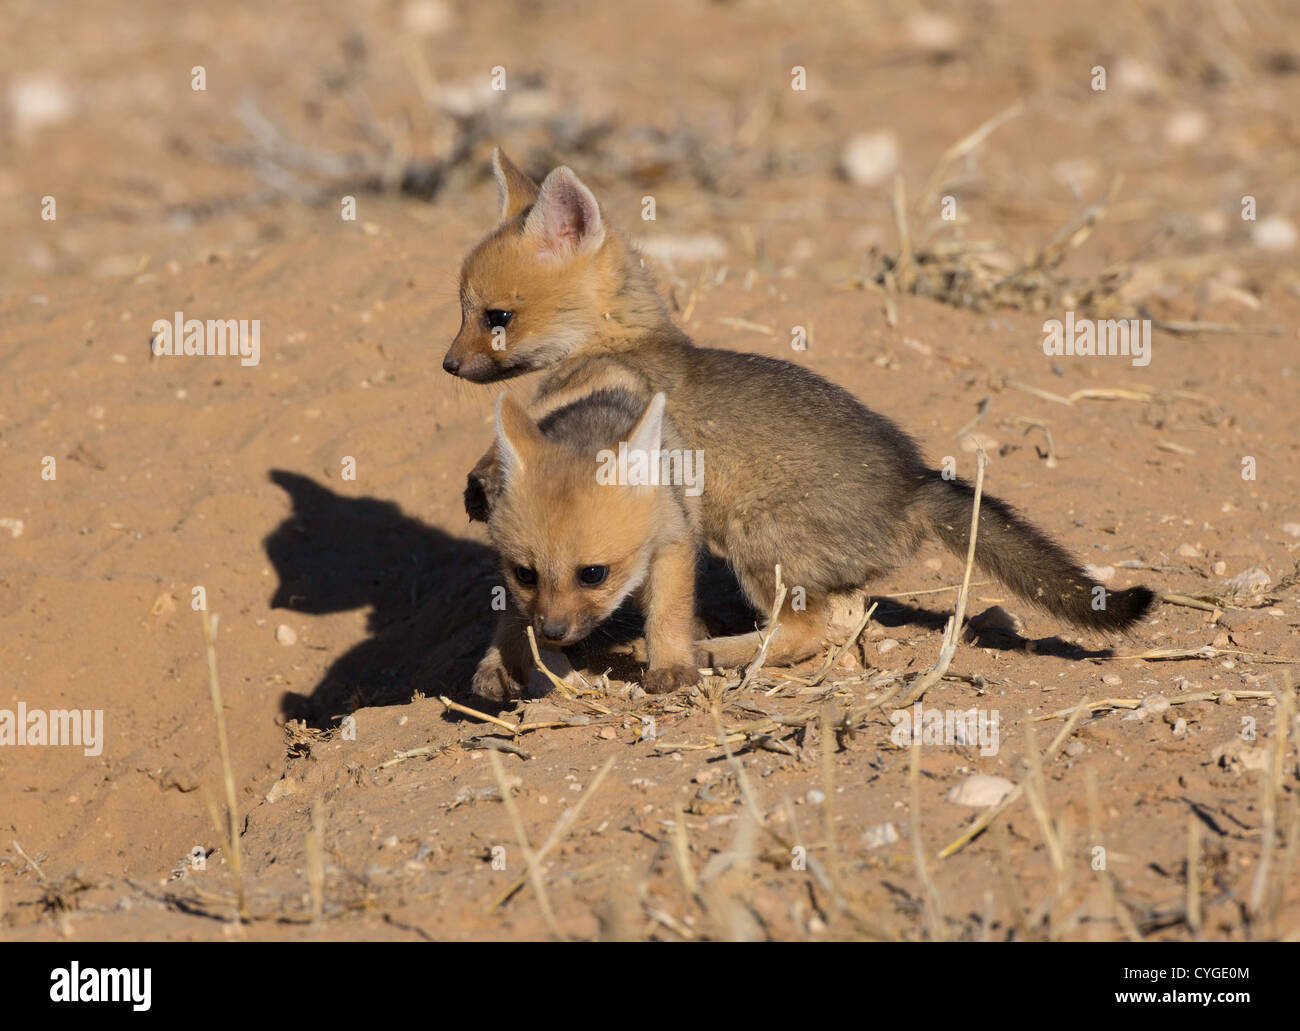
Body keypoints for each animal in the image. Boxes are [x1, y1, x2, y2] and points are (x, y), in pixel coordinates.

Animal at [476, 388, 701, 700]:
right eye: (525, 575)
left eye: (592, 574)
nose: (553, 632)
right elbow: (518, 618)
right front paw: (507, 660)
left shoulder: (670, 541)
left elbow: (667, 612)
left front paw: (671, 664)